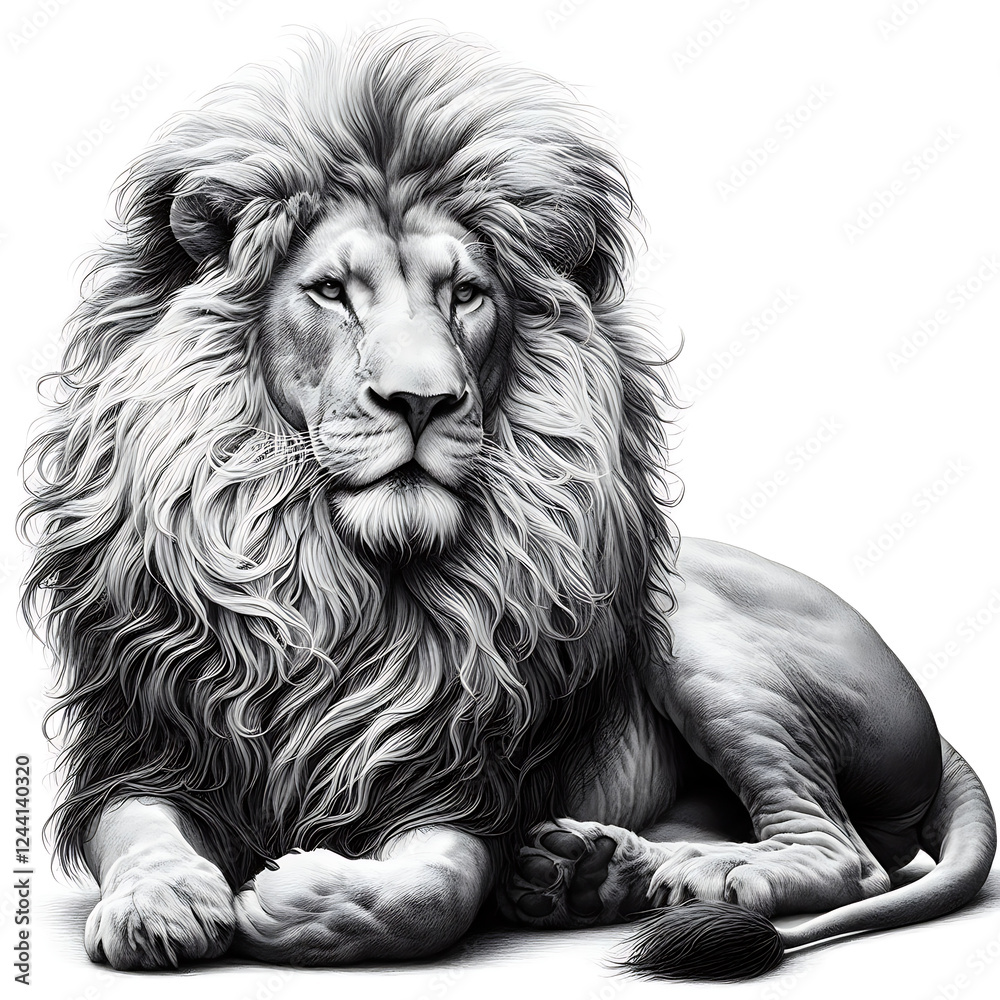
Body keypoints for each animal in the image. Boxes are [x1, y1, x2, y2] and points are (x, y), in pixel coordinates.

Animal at [20, 27, 995, 980]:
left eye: (466, 294)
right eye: (331, 291)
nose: (420, 401)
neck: (343, 590)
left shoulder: (461, 780)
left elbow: (432, 896)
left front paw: (292, 899)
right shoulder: (148, 750)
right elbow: (141, 834)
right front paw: (160, 906)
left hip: (702, 635)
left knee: (846, 854)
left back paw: (693, 879)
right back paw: (590, 872)